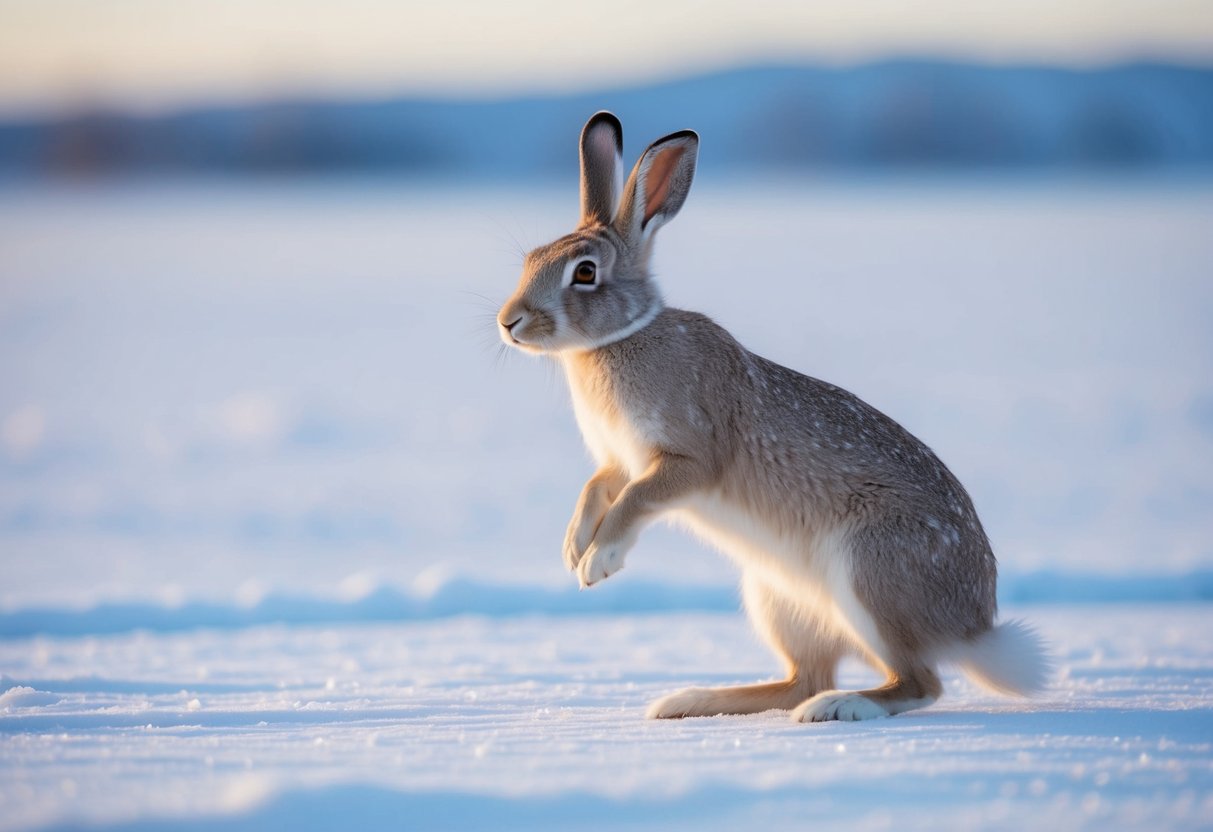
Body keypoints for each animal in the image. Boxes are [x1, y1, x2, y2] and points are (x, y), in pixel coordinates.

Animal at [496, 111, 1050, 722]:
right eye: (532, 259)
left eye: (586, 273)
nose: (509, 321)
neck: (621, 337)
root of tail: (973, 629)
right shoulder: (620, 460)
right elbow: (597, 488)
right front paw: (573, 547)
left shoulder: (688, 458)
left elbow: (638, 498)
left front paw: (599, 562)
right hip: (775, 597)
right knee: (801, 678)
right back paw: (688, 700)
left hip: (870, 571)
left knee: (916, 682)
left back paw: (839, 707)